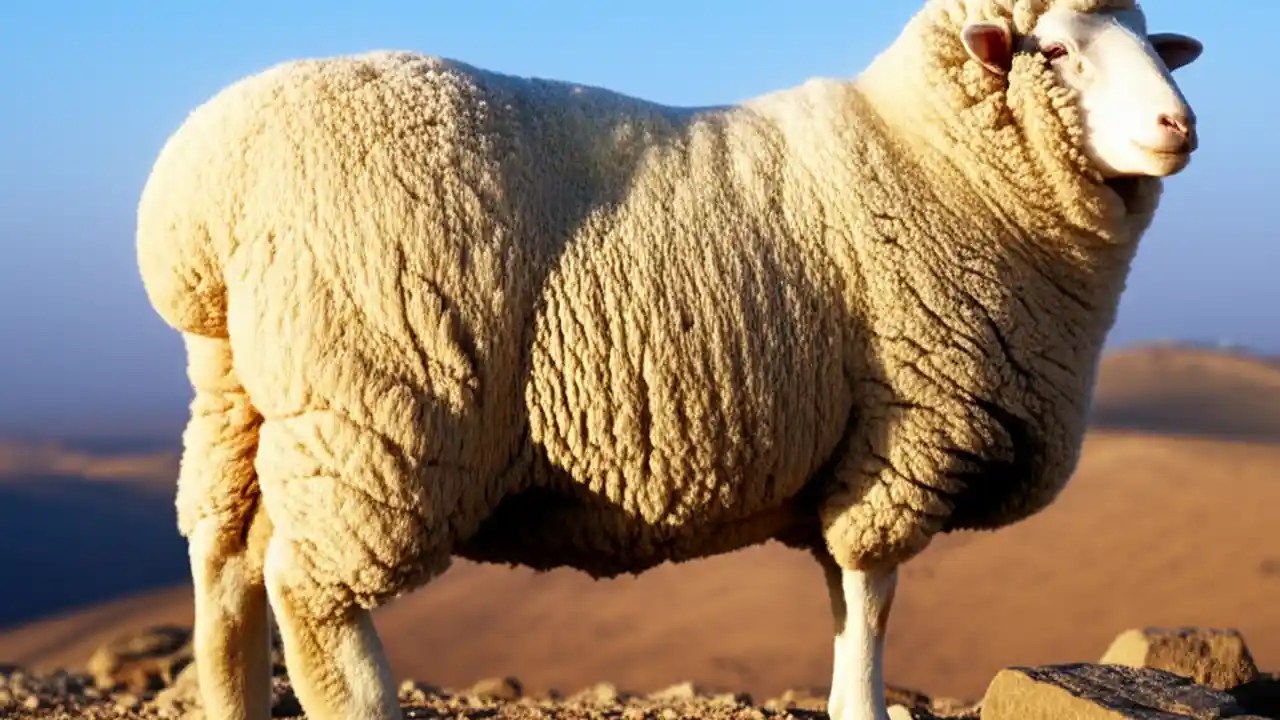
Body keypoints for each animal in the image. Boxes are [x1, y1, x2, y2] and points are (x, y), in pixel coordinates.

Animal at [134, 0, 1203, 718]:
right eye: (1054, 50)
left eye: (1155, 43)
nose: (1179, 125)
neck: (932, 156)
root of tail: (203, 187)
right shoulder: (906, 433)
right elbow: (872, 595)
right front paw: (863, 703)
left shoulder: (849, 453)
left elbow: (843, 596)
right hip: (381, 407)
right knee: (309, 592)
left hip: (239, 387)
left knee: (224, 561)